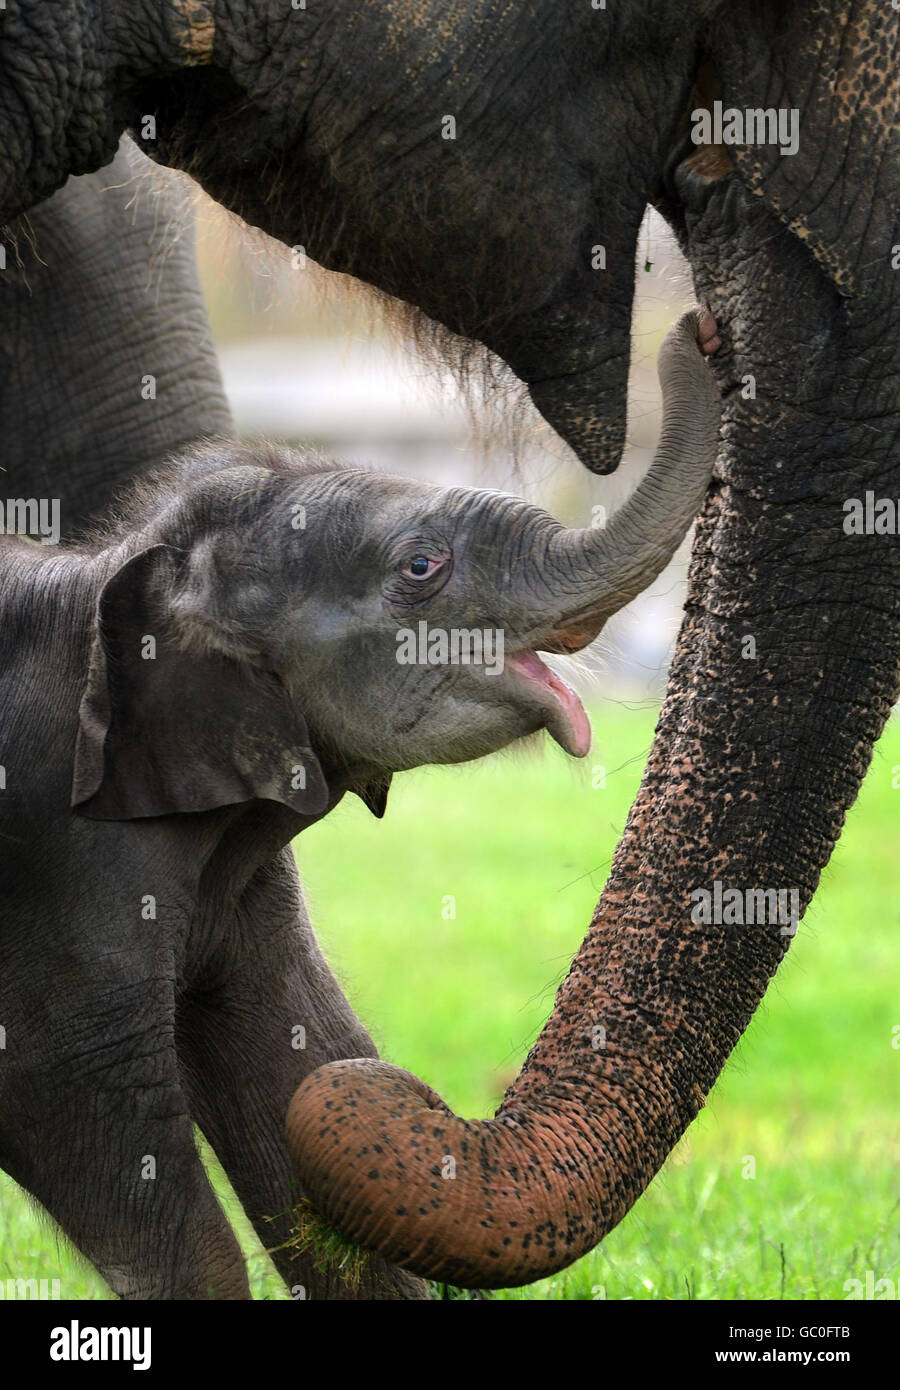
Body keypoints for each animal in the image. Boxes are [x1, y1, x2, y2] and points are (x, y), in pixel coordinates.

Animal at [0, 309, 721, 1298]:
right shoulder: (60, 860)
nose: (700, 327)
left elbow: (293, 1054)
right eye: (421, 565)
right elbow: (88, 1113)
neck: (117, 580)